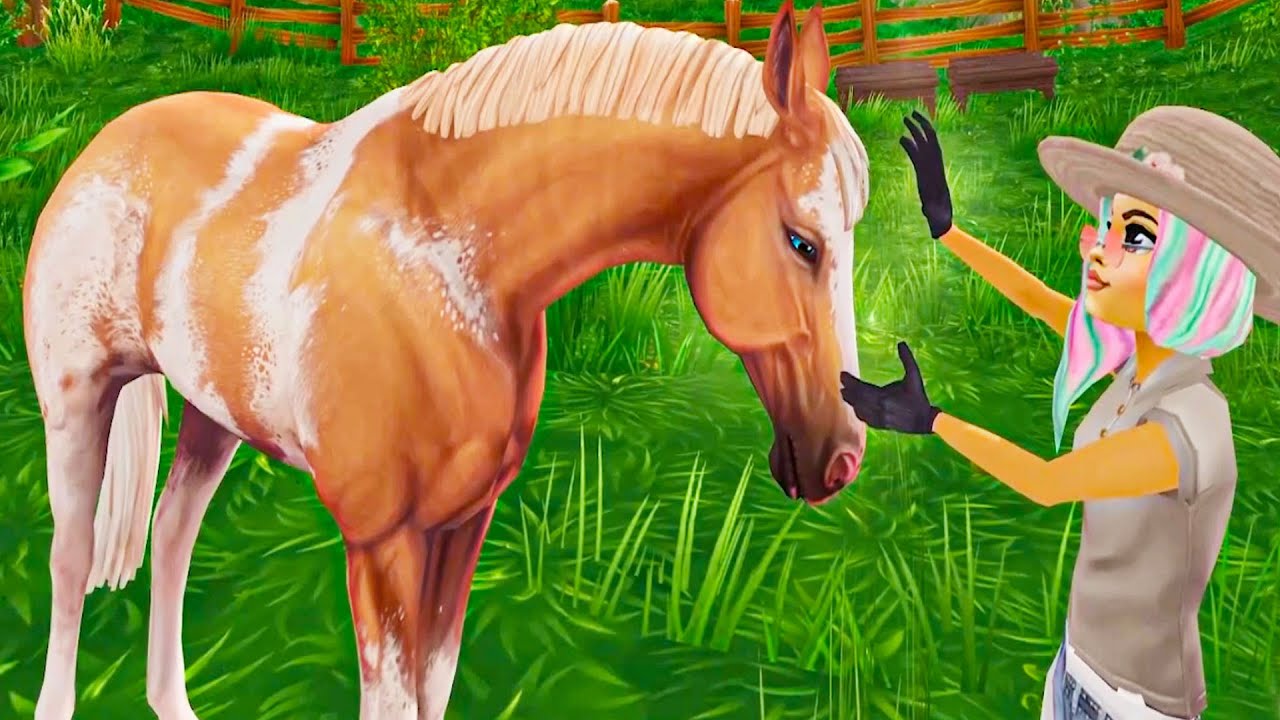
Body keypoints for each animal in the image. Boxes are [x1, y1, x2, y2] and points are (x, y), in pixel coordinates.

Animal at [22, 2, 870, 718]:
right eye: (803, 241)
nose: (840, 457)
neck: (451, 259)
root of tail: (108, 143)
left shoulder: (462, 525)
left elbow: (436, 687)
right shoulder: (382, 540)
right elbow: (394, 701)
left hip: (214, 414)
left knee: (171, 536)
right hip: (76, 401)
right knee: (70, 560)